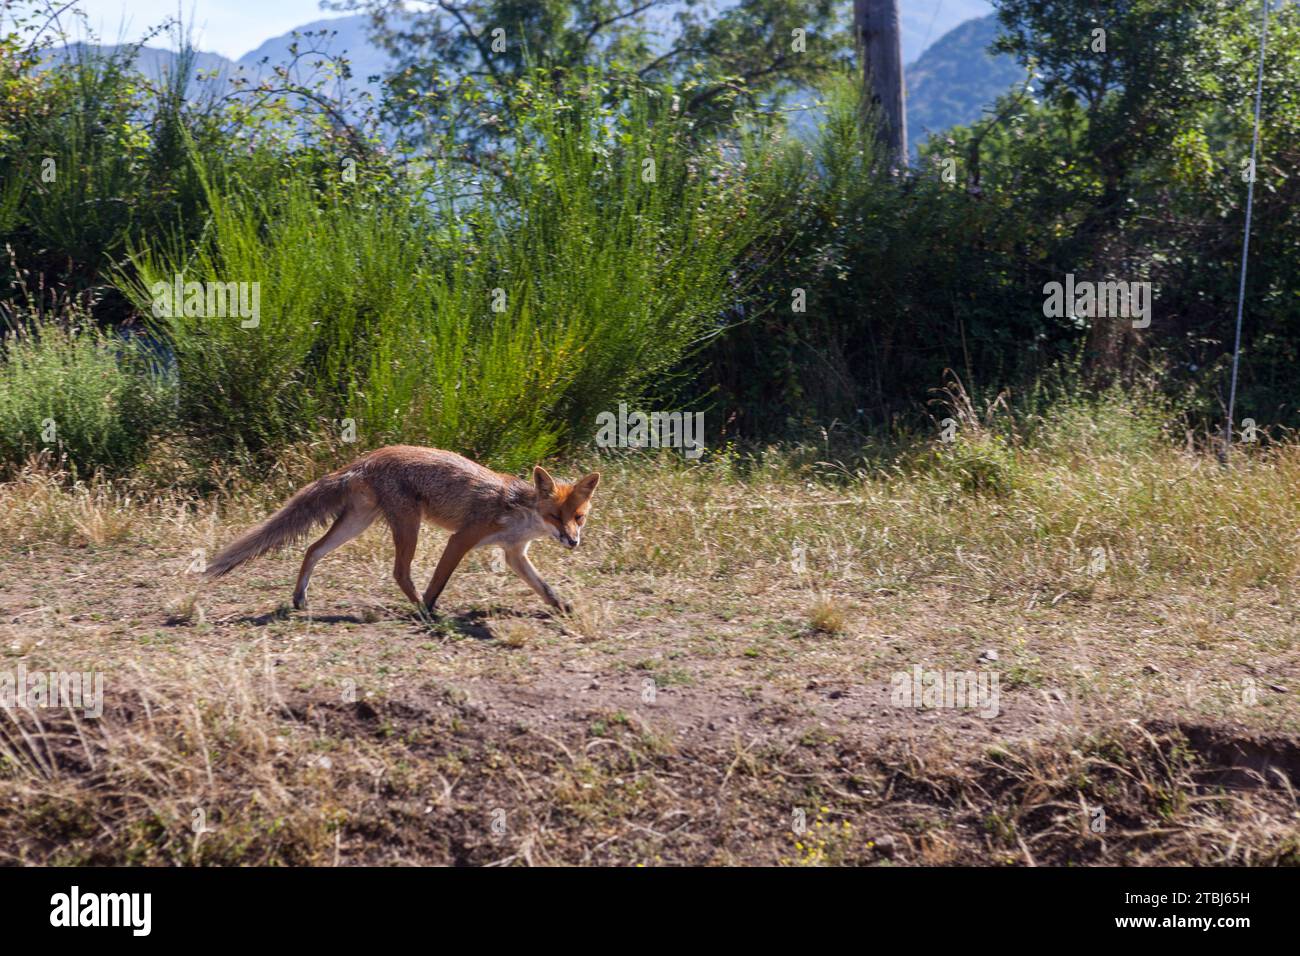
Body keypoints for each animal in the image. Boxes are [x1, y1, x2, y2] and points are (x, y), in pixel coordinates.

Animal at [203, 446, 600, 613]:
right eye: (555, 516)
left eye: (578, 517)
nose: (573, 541)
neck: (519, 513)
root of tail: (366, 457)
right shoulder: (461, 538)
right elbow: (438, 580)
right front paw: (431, 607)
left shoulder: (514, 554)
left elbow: (544, 588)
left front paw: (562, 607)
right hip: (408, 525)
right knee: (399, 572)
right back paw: (420, 608)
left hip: (356, 523)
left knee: (312, 549)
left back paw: (300, 598)